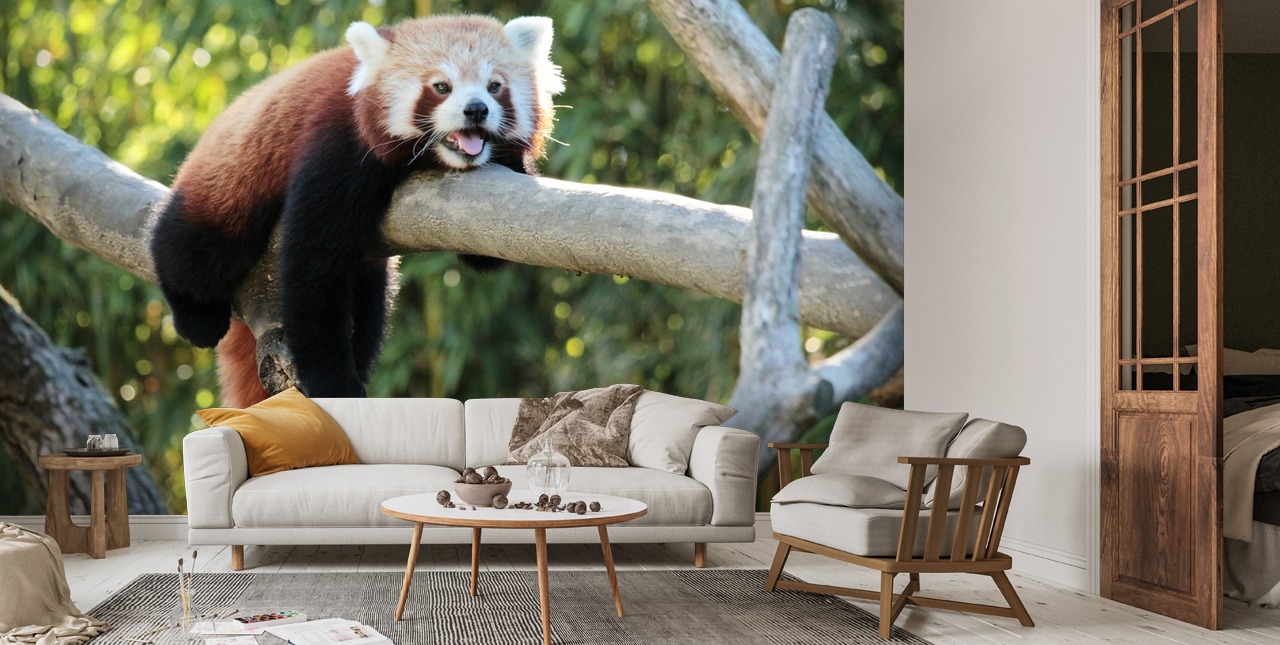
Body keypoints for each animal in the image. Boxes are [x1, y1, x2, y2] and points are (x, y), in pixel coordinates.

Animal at [148, 15, 563, 407]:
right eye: (441, 87)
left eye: (495, 86)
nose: (476, 109)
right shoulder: (339, 147)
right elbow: (314, 265)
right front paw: (333, 383)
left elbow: (484, 253)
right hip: (226, 186)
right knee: (193, 252)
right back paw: (194, 315)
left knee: (370, 311)